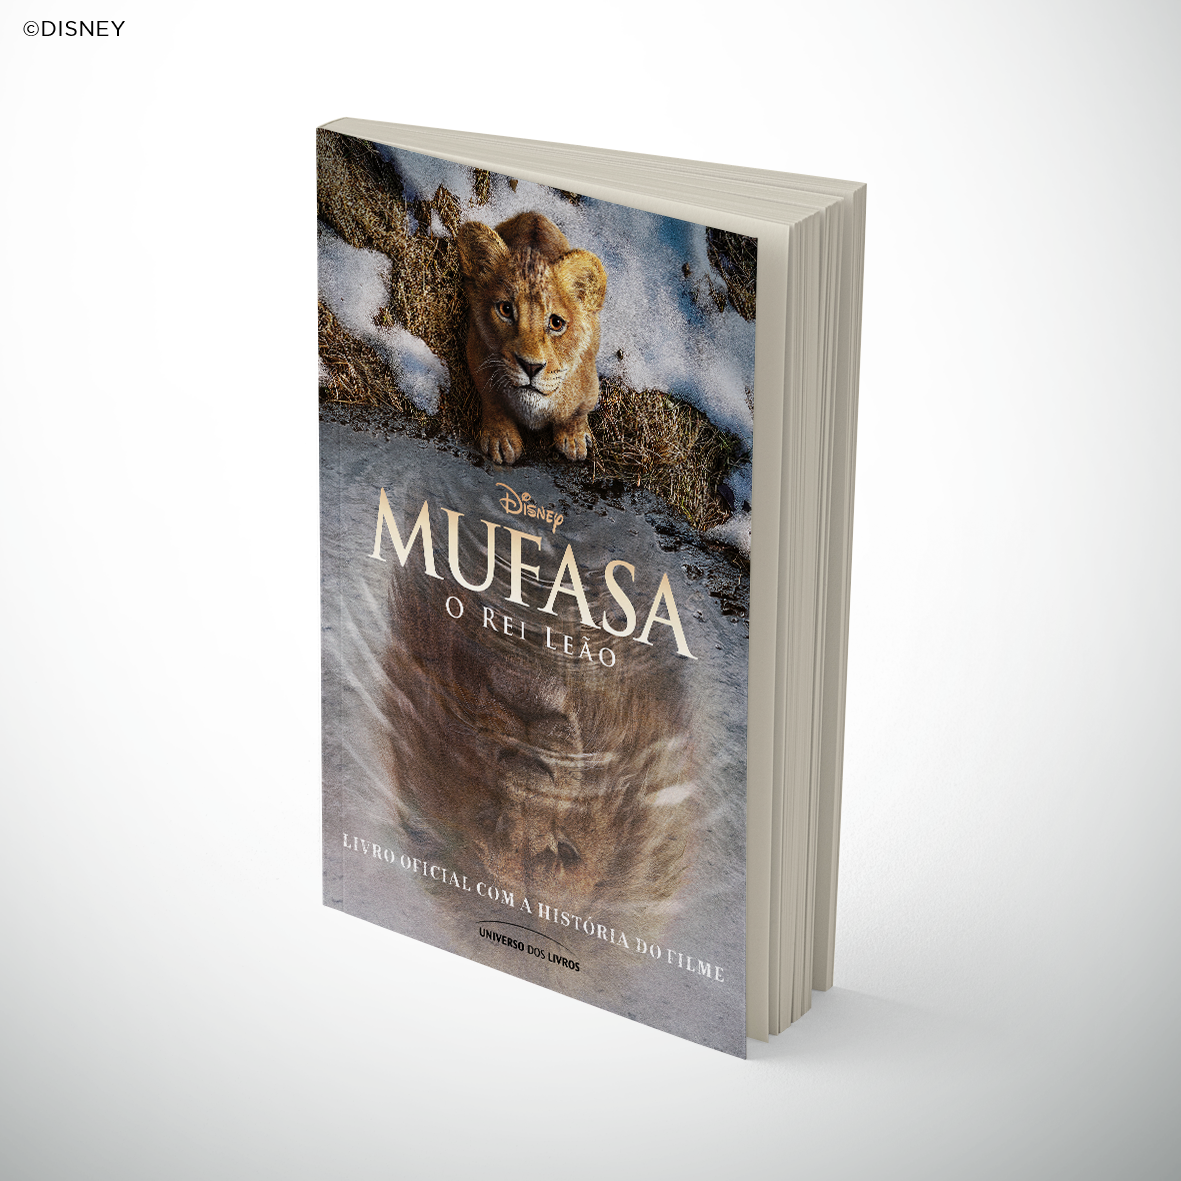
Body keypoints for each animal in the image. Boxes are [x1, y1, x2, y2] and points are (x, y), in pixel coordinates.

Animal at [457, 211, 607, 465]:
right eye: (506, 309)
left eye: (556, 323)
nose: (530, 367)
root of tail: (532, 214)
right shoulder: (477, 352)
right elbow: (492, 400)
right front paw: (501, 438)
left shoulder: (589, 382)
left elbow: (578, 411)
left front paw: (574, 438)